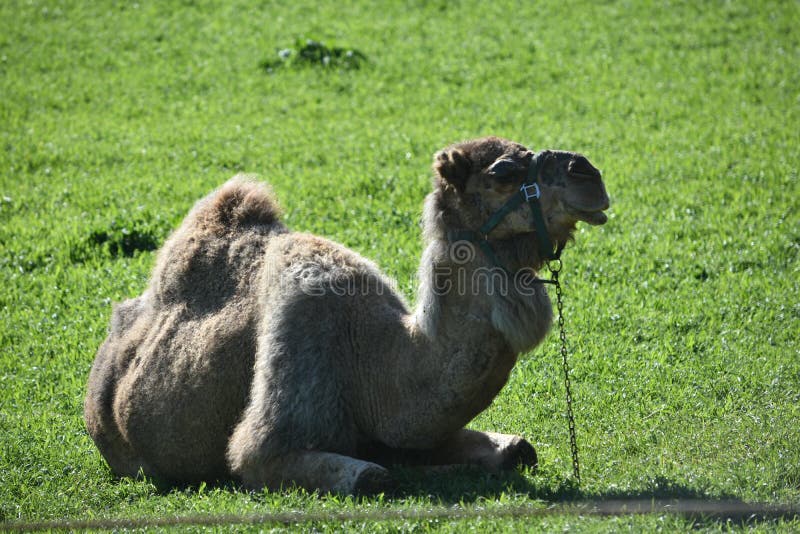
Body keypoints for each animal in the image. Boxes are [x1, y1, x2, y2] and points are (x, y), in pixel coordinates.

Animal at [84, 136, 609, 494]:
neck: (375, 357)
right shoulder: (280, 417)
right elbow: (369, 476)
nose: (589, 173)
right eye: (502, 172)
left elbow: (518, 449)